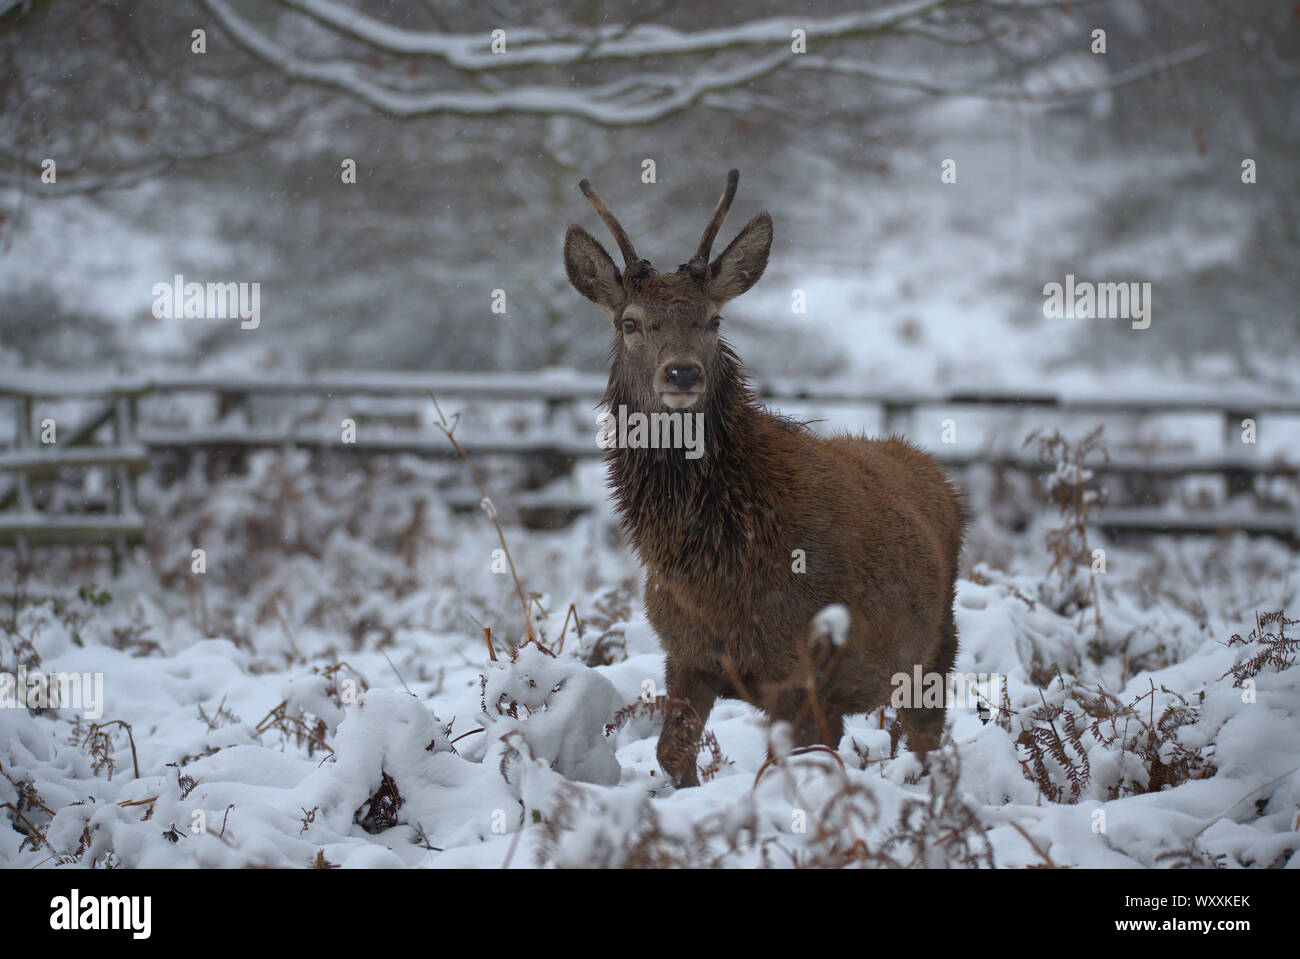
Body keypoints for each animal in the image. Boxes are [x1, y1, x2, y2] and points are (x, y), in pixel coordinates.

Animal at [563, 170, 966, 788]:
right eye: (630, 322)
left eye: (714, 319)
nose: (683, 373)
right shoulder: (686, 654)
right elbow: (671, 753)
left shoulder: (805, 666)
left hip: (937, 645)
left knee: (926, 737)